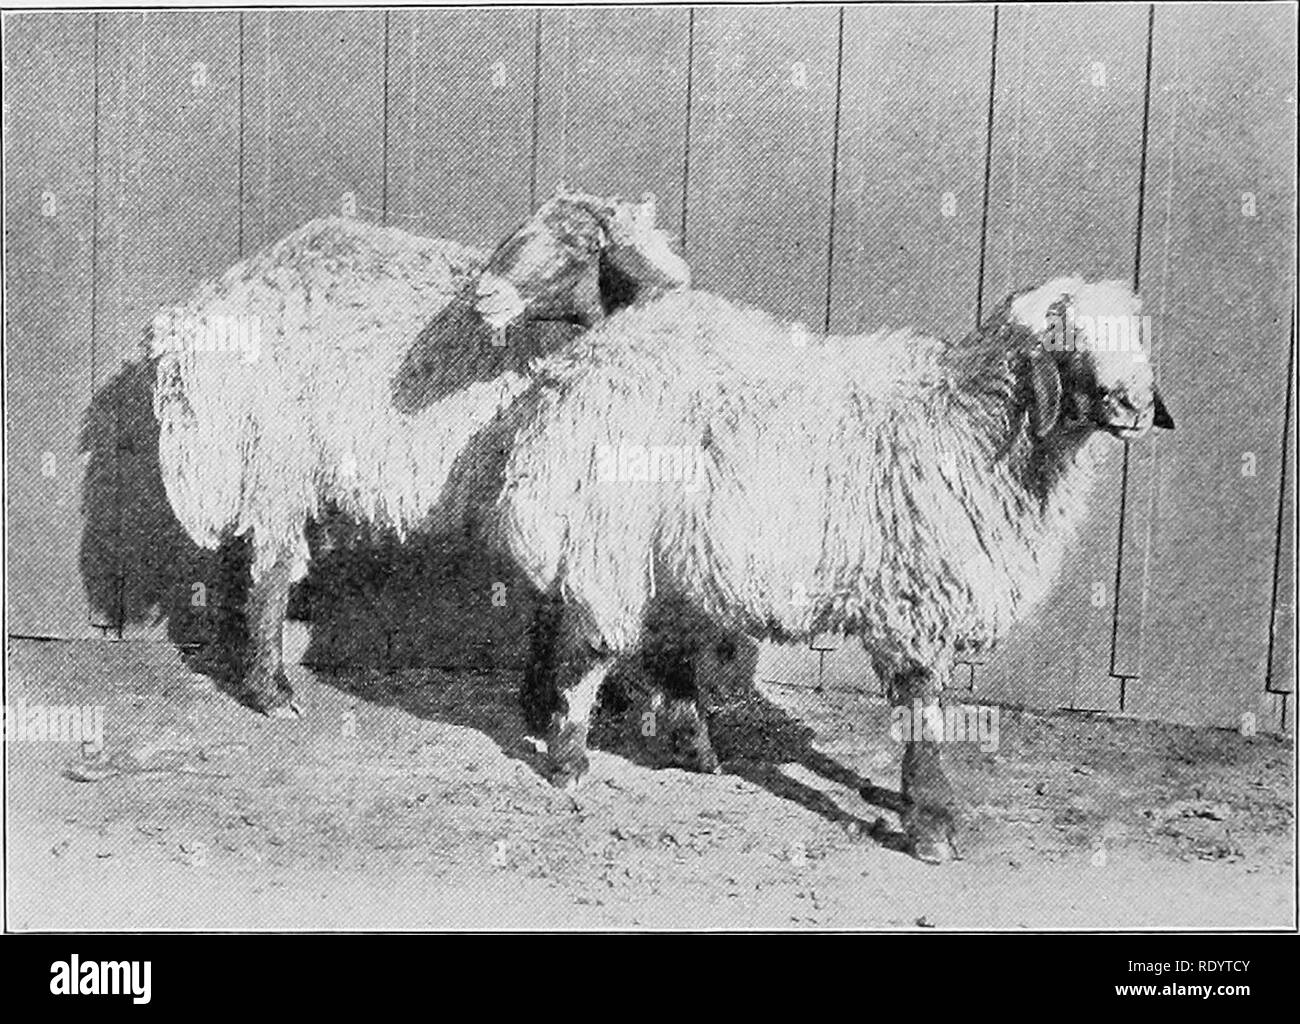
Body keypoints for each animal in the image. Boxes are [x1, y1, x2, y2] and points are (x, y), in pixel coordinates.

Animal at [150, 186, 689, 717]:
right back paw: (271, 690)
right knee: (271, 563)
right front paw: (549, 698)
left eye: (578, 243)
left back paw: (234, 661)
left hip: (251, 453)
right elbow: (559, 597)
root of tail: (201, 317)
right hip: (277, 453)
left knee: (238, 555)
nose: (484, 293)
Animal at [490, 275, 1175, 863]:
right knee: (588, 642)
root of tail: (576, 363)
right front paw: (931, 824)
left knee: (612, 625)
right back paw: (568, 755)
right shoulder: (915, 600)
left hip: (653, 545)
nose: (1135, 404)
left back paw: (662, 739)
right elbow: (923, 707)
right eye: (1069, 339)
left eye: (1139, 338)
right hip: (611, 532)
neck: (970, 424)